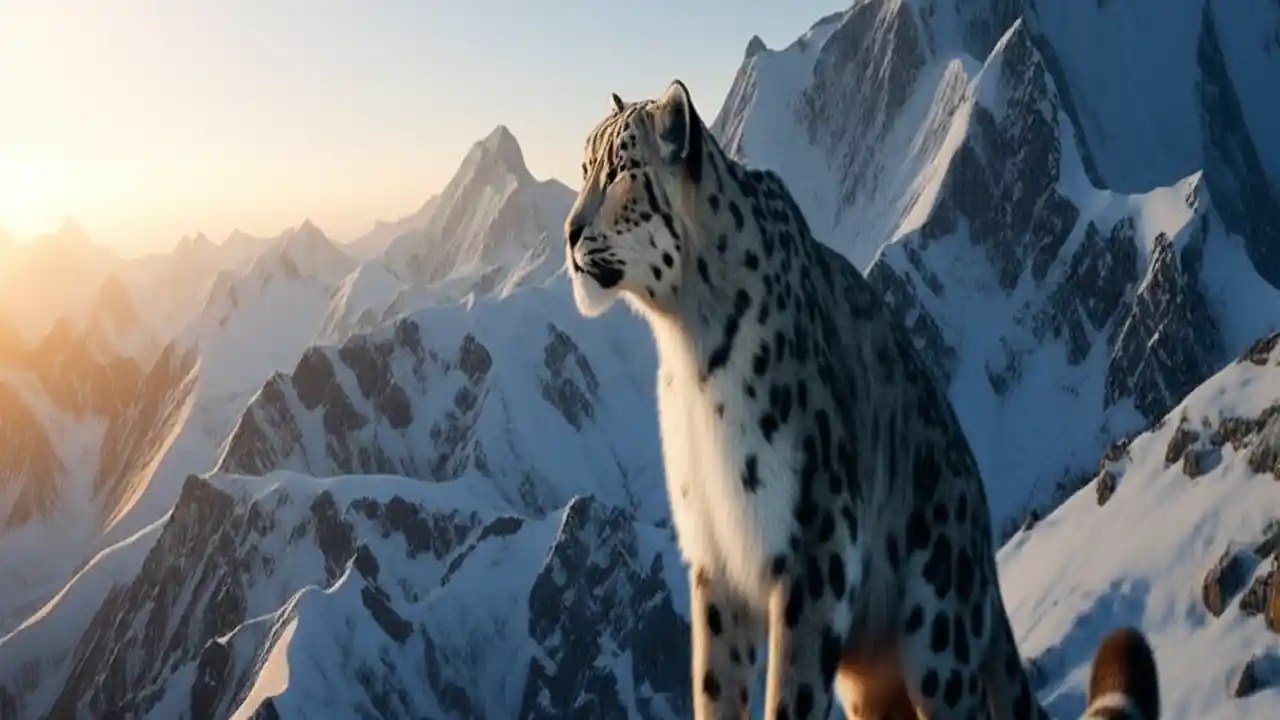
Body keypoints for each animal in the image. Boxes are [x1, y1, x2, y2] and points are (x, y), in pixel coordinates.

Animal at [562, 78, 1159, 720]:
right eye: (584, 168)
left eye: (621, 170)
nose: (568, 233)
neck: (687, 343)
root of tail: (981, 539)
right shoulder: (715, 554)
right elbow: (715, 686)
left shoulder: (814, 539)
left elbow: (792, 687)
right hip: (873, 681)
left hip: (939, 639)